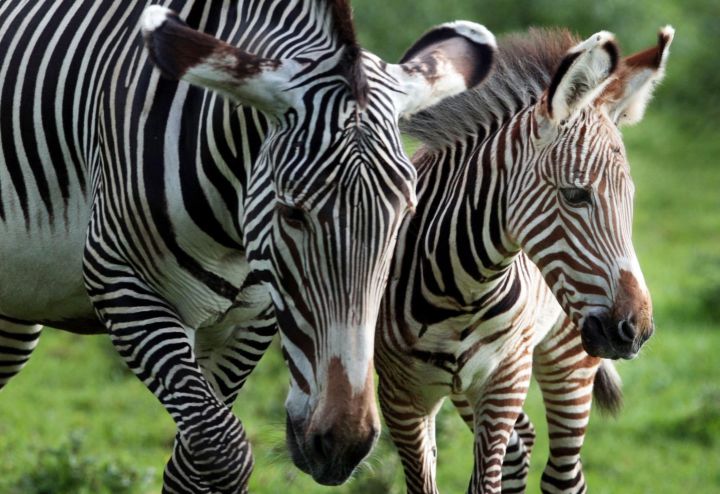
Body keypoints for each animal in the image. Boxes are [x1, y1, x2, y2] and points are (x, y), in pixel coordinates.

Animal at [0, 1, 497, 491]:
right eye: (291, 212)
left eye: (404, 216)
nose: (342, 445)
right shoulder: (122, 284)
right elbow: (223, 450)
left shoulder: (252, 317)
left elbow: (192, 462)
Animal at [376, 25, 673, 494]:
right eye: (576, 194)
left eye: (630, 199)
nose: (637, 331)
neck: (457, 292)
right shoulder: (399, 396)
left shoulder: (504, 381)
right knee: (522, 445)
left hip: (569, 354)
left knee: (563, 473)